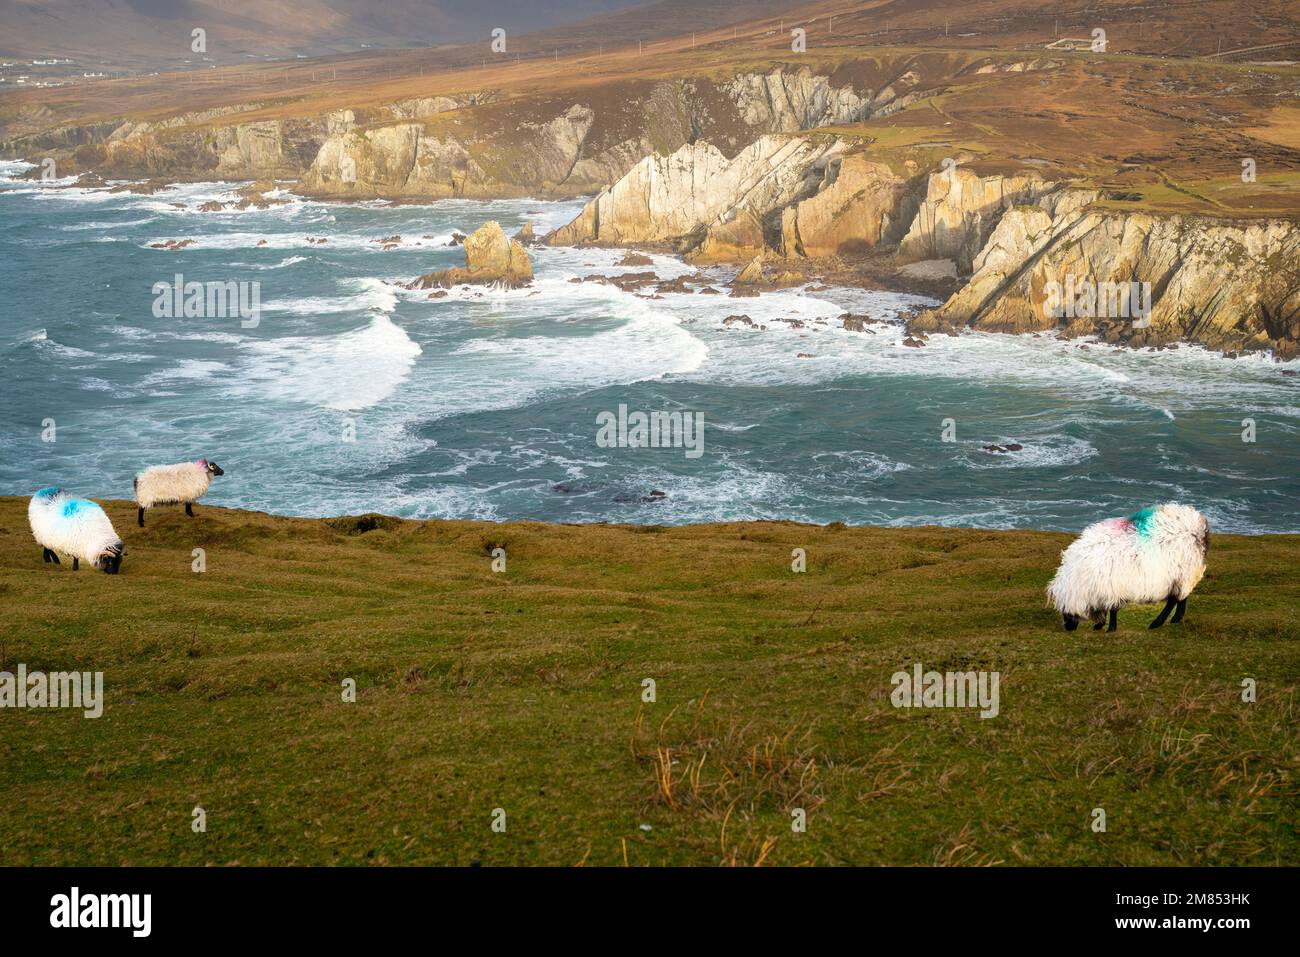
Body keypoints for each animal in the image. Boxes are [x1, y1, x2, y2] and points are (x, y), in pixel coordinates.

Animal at [1047, 503, 1209, 632]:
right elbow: (1106, 609)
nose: (1068, 628)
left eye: (1064, 611)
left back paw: (1157, 623)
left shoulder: (1110, 587)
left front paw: (1110, 629)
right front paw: (1099, 626)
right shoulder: (1105, 588)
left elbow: (1112, 610)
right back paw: (1176, 618)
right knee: (1182, 597)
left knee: (1173, 600)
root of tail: (1199, 527)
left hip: (1181, 573)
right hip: (1184, 576)